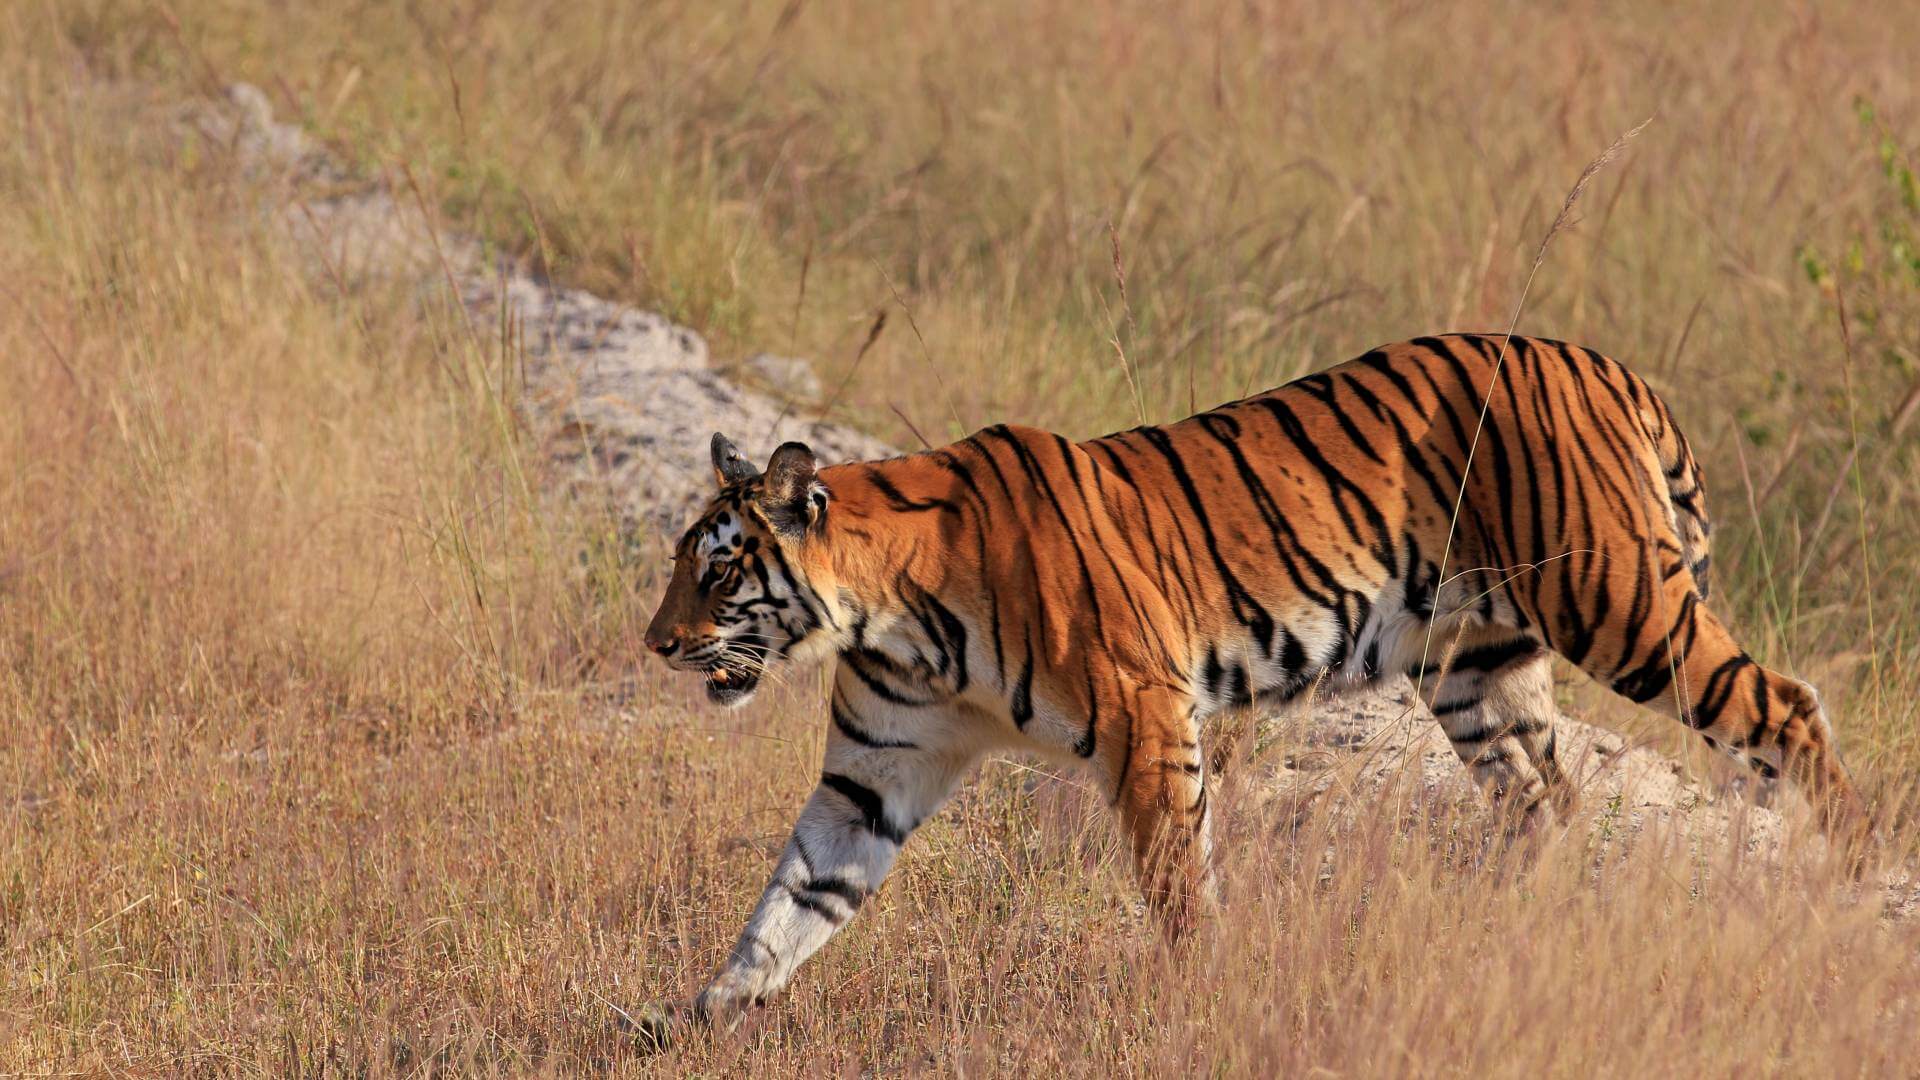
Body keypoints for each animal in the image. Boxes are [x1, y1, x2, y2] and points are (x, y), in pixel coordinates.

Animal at [637, 332, 1871, 1038]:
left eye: (717, 569)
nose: (655, 644)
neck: (894, 613)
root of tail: (1604, 361)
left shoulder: (1146, 717)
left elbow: (1180, 880)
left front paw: (1202, 996)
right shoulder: (876, 772)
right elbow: (794, 900)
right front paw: (704, 1016)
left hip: (1618, 607)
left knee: (1786, 709)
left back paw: (1854, 878)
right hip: (1479, 666)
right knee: (1548, 803)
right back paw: (1518, 941)